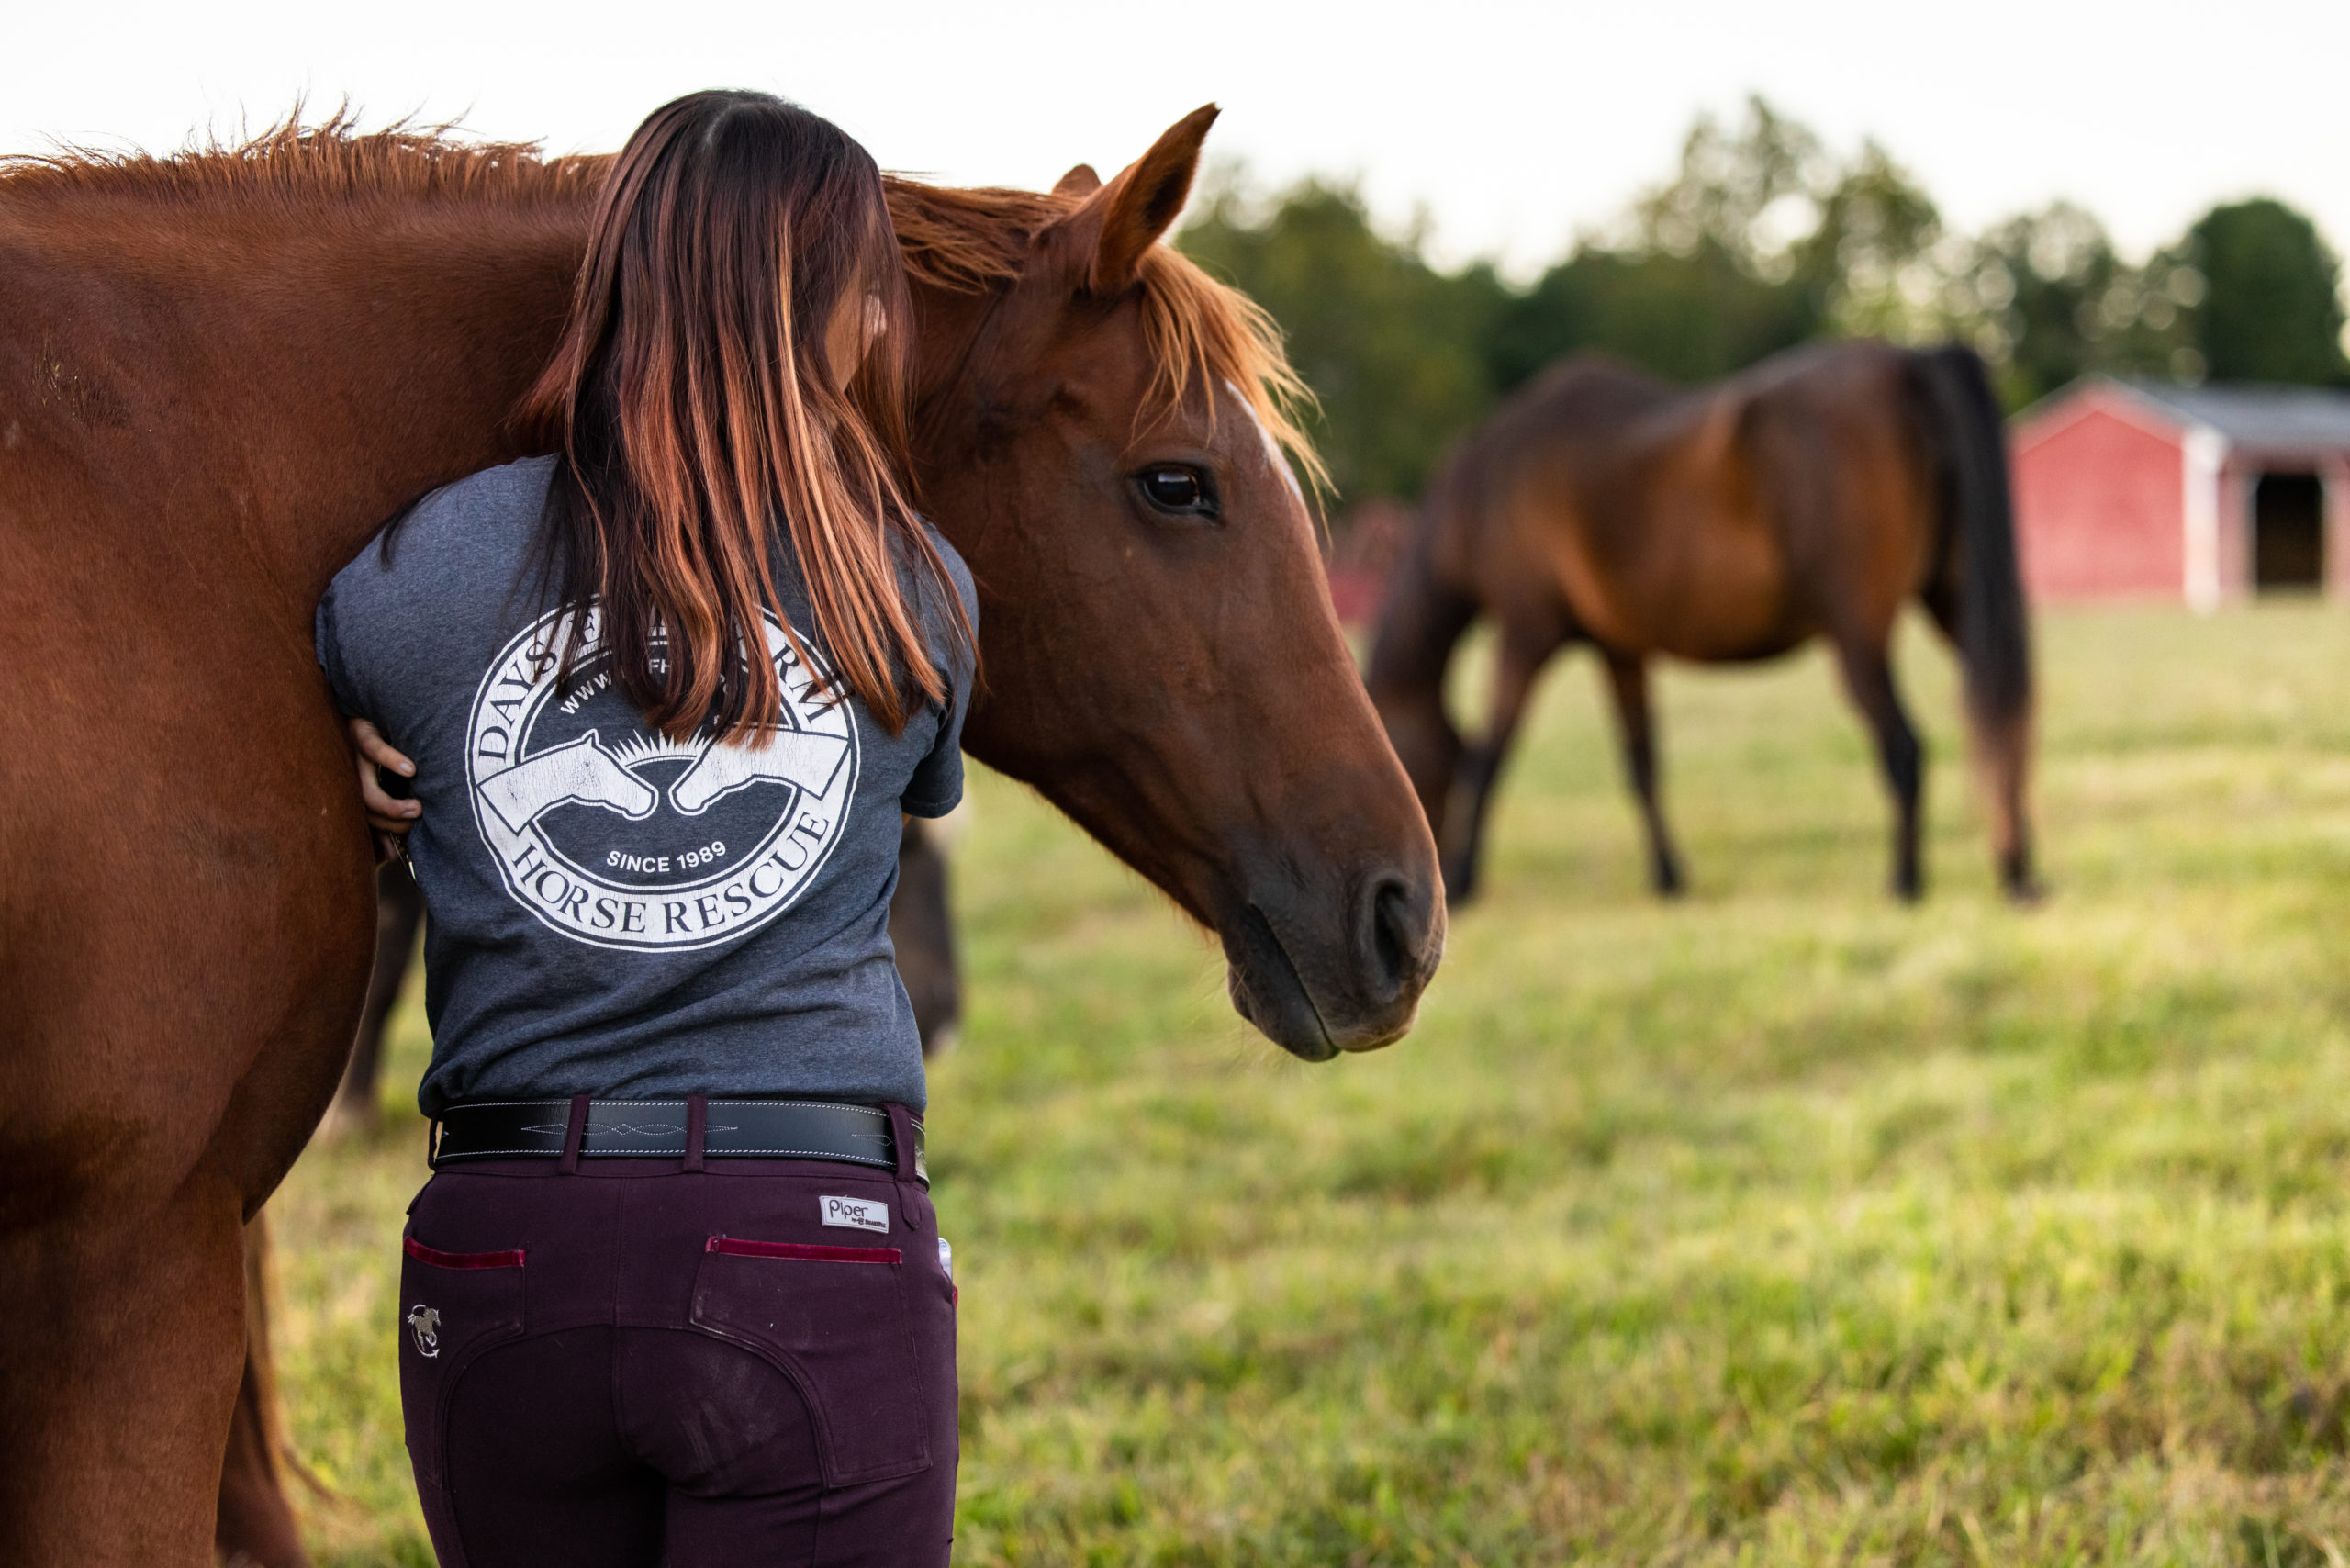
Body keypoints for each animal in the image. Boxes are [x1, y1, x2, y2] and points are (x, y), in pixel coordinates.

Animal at [1366, 341, 2036, 905]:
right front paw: (1668, 878)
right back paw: (2017, 872)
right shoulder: (1621, 651)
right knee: (2008, 724)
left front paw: (1465, 879)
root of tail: (1905, 361)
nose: (1418, 890)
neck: (1486, 489)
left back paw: (1905, 882)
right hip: (1955, 607)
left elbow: (1490, 755)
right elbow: (1641, 765)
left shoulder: (1526, 635)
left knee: (1905, 748)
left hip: (1859, 637)